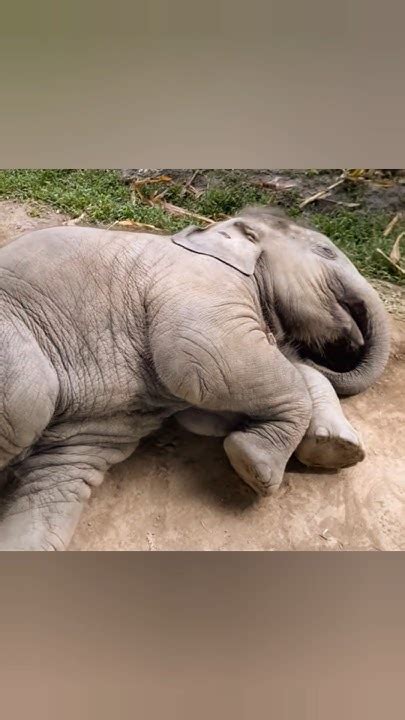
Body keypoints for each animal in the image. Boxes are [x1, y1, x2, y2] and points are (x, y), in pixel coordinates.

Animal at [0, 205, 390, 550]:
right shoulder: (202, 284)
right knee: (27, 407)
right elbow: (199, 361)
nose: (350, 344)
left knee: (59, 476)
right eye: (326, 251)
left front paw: (335, 449)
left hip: (91, 430)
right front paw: (254, 468)